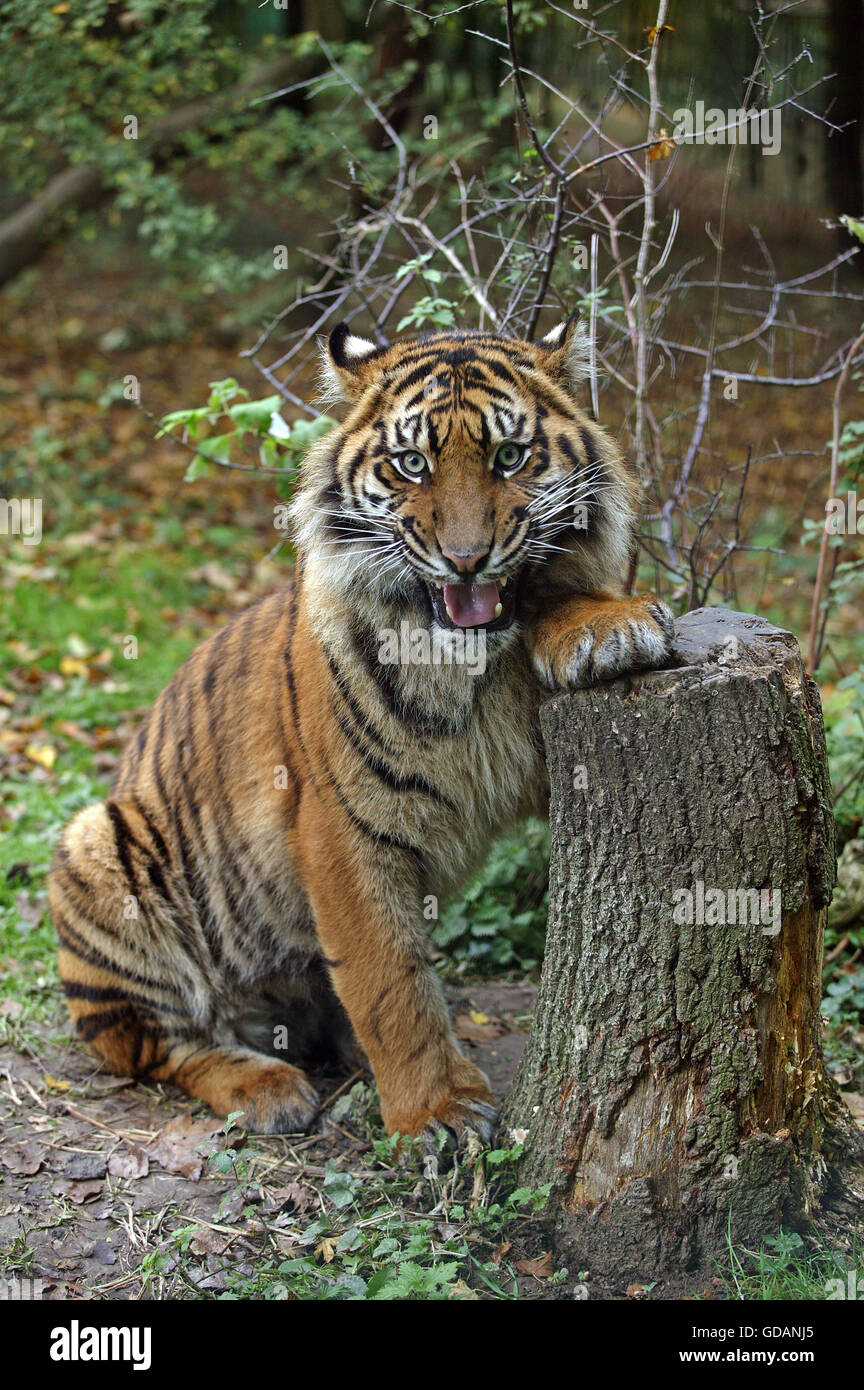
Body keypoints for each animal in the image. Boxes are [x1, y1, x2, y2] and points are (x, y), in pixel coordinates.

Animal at [48, 314, 675, 1143]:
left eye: (510, 456)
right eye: (411, 464)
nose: (467, 560)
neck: (471, 666)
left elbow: (558, 589)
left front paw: (611, 626)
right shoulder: (342, 828)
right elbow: (389, 983)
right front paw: (436, 1113)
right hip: (96, 845)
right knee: (158, 1046)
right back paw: (268, 1089)